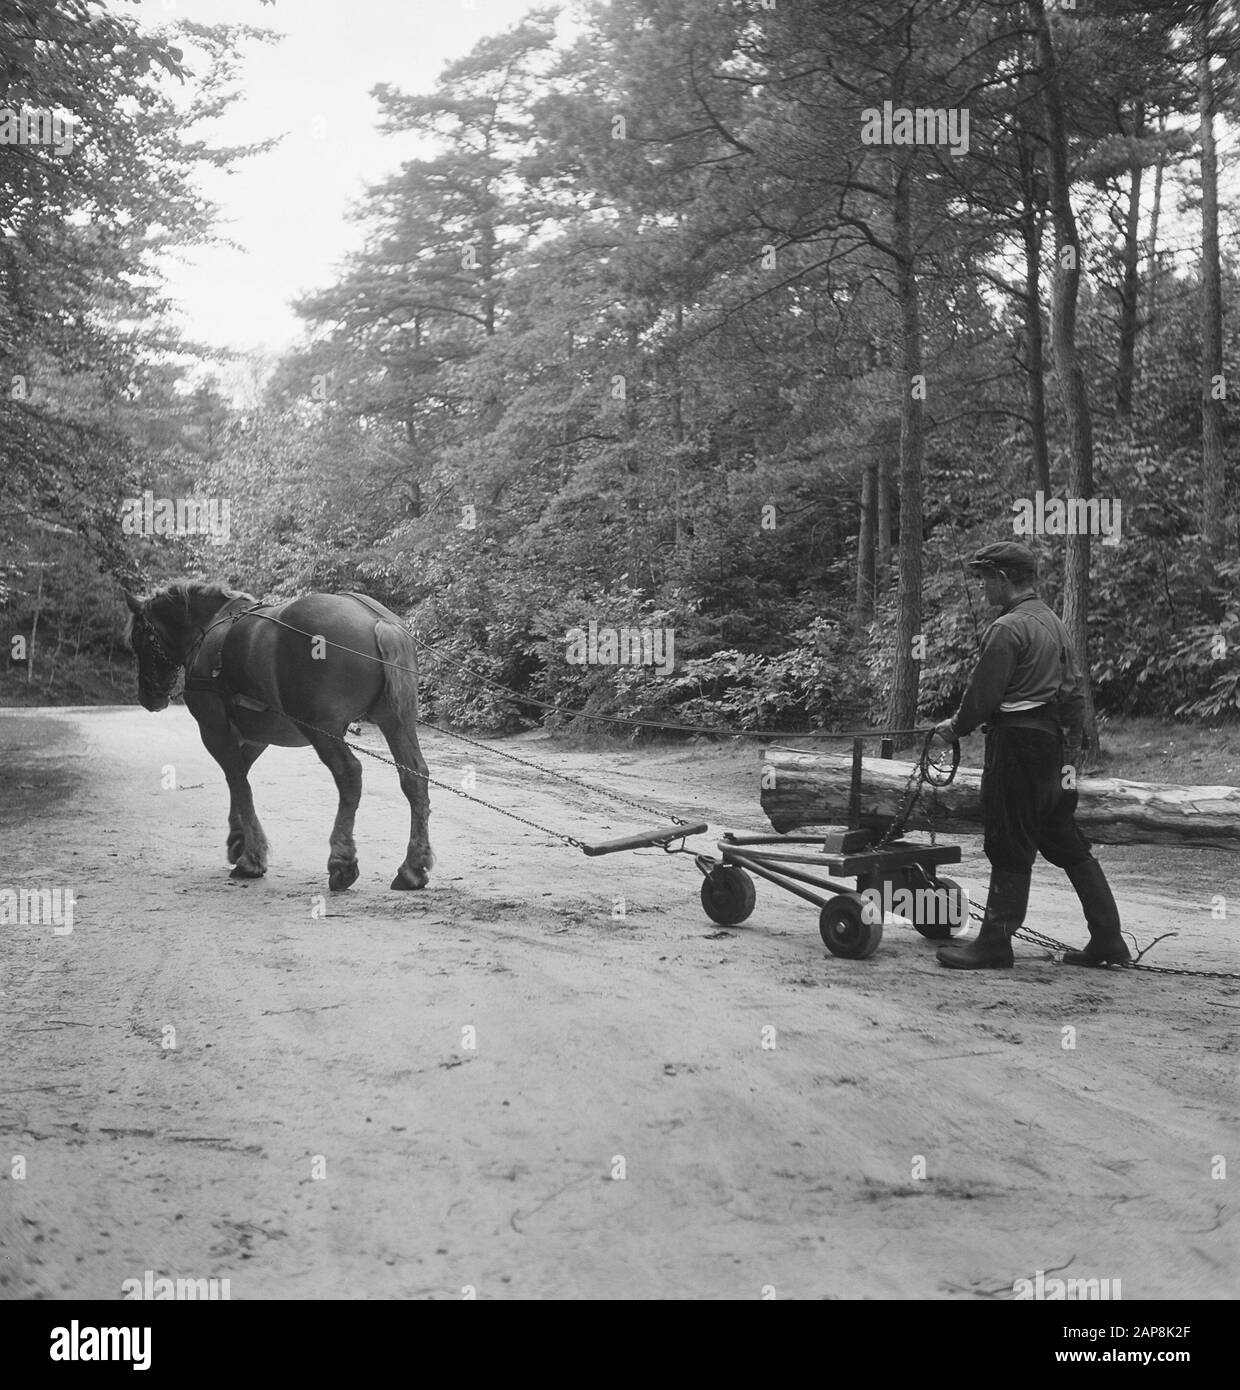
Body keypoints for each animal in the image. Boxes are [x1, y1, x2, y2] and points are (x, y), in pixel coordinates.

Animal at [124, 582, 433, 892]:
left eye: (139, 639)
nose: (148, 696)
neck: (210, 626)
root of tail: (375, 619)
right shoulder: (258, 736)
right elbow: (239, 779)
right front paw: (238, 839)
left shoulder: (214, 730)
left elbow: (239, 782)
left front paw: (251, 857)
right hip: (395, 721)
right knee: (414, 777)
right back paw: (412, 867)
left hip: (323, 729)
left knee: (349, 775)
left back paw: (342, 861)